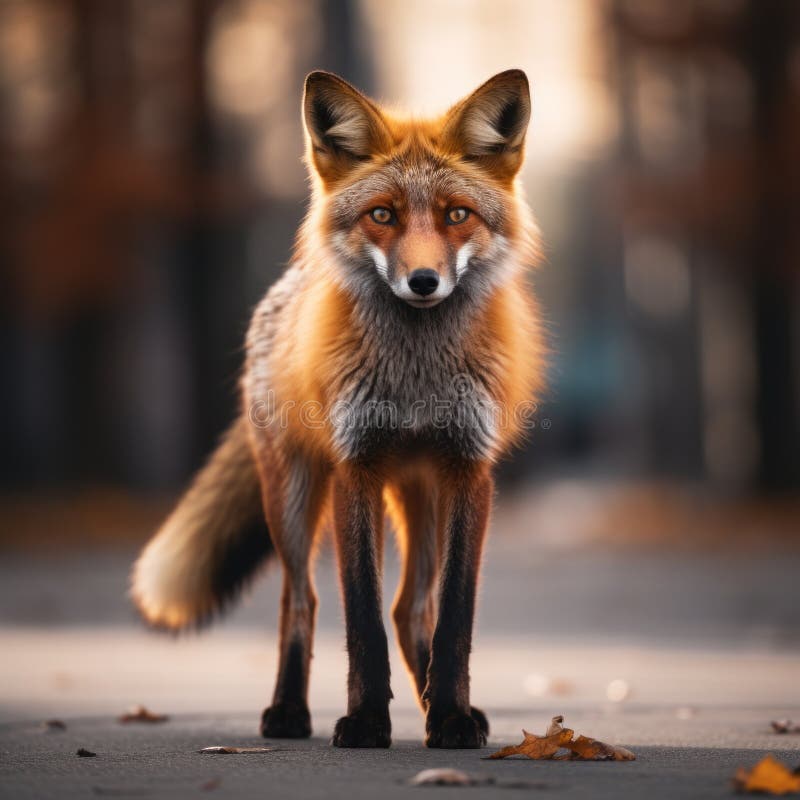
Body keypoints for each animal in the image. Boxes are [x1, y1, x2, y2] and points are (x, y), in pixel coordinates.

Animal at [131, 69, 545, 749]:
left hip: (422, 495)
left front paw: (451, 718)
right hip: (296, 496)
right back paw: (287, 712)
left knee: (412, 608)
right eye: (382, 215)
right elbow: (360, 619)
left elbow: (454, 617)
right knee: (302, 600)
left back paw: (433, 705)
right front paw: (367, 721)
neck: (415, 378)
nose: (424, 281)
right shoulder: (358, 466)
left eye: (457, 215)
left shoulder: (468, 469)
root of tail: (286, 286)